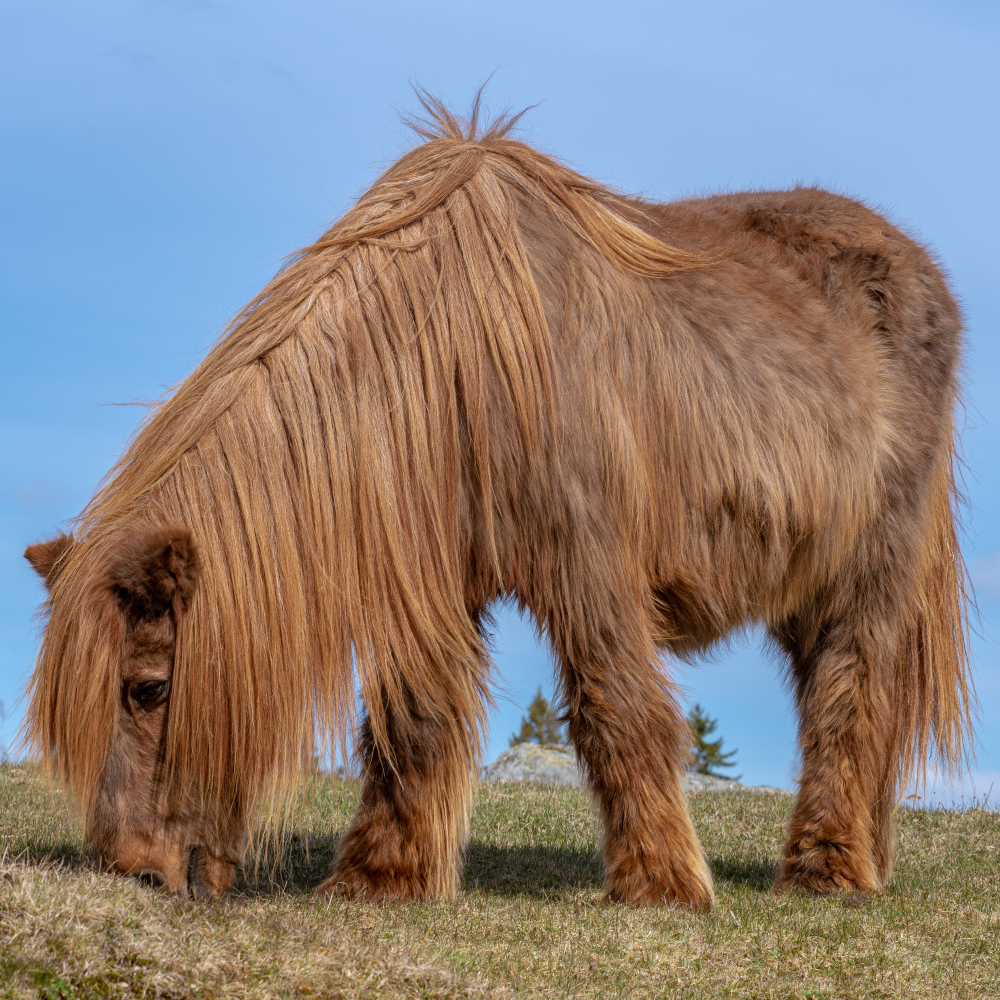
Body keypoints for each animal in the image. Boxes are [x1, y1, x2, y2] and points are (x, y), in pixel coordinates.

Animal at [23, 96, 972, 909]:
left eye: (148, 688)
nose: (130, 869)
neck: (449, 364)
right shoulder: (435, 580)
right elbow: (411, 720)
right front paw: (381, 880)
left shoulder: (585, 562)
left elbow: (617, 708)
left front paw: (662, 886)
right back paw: (863, 860)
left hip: (871, 567)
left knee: (851, 698)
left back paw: (825, 872)